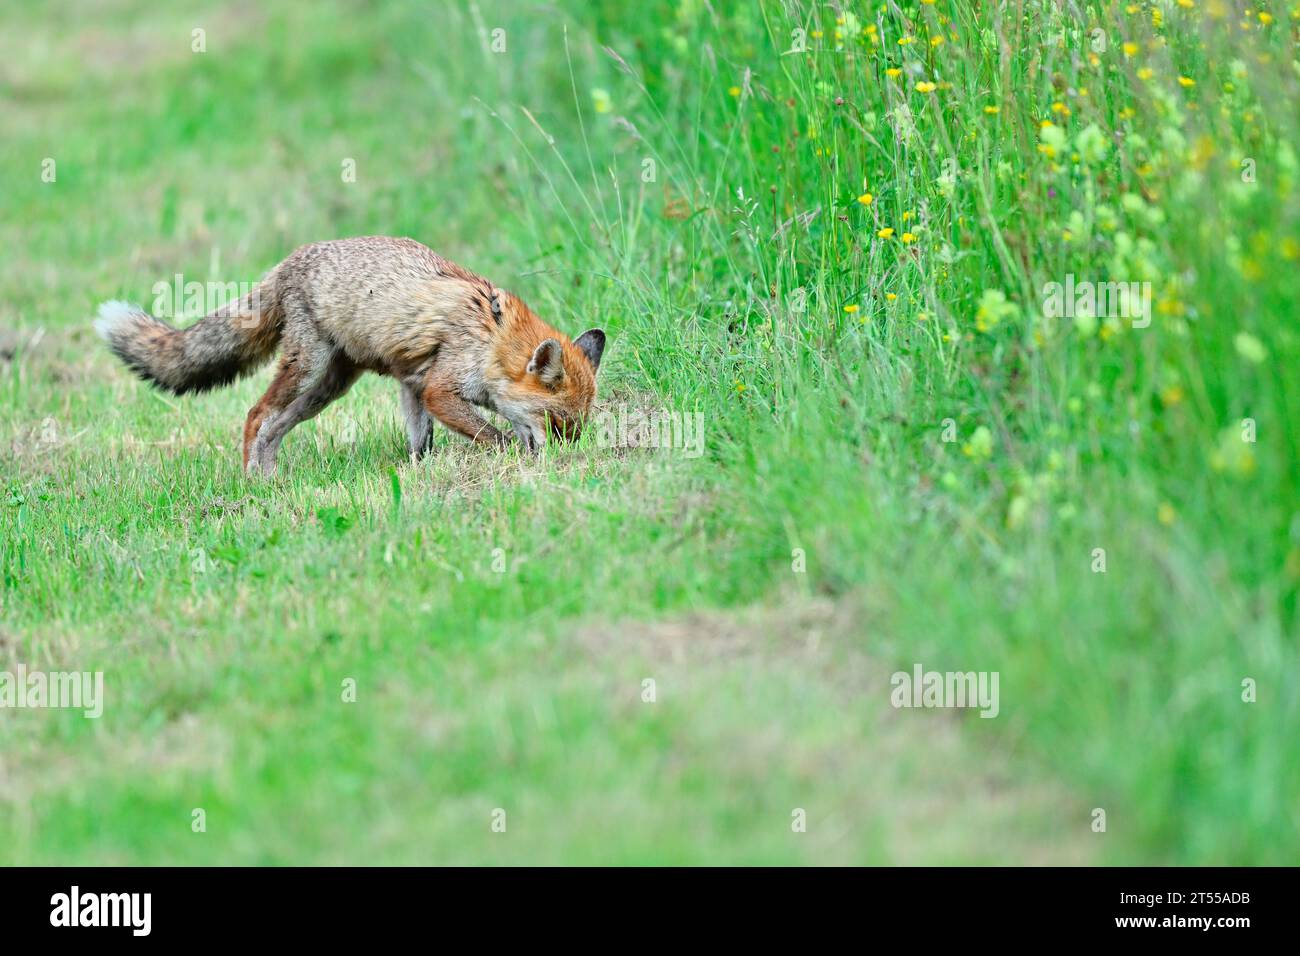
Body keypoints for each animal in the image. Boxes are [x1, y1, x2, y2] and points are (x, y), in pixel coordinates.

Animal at [94, 236, 605, 475]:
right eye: (558, 425)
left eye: (576, 429)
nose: (568, 455)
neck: (493, 338)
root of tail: (288, 262)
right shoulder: (440, 389)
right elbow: (494, 436)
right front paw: (514, 456)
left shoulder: (413, 385)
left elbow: (420, 445)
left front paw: (418, 476)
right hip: (307, 369)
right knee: (255, 414)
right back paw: (251, 481)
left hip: (327, 388)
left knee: (273, 428)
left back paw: (271, 479)